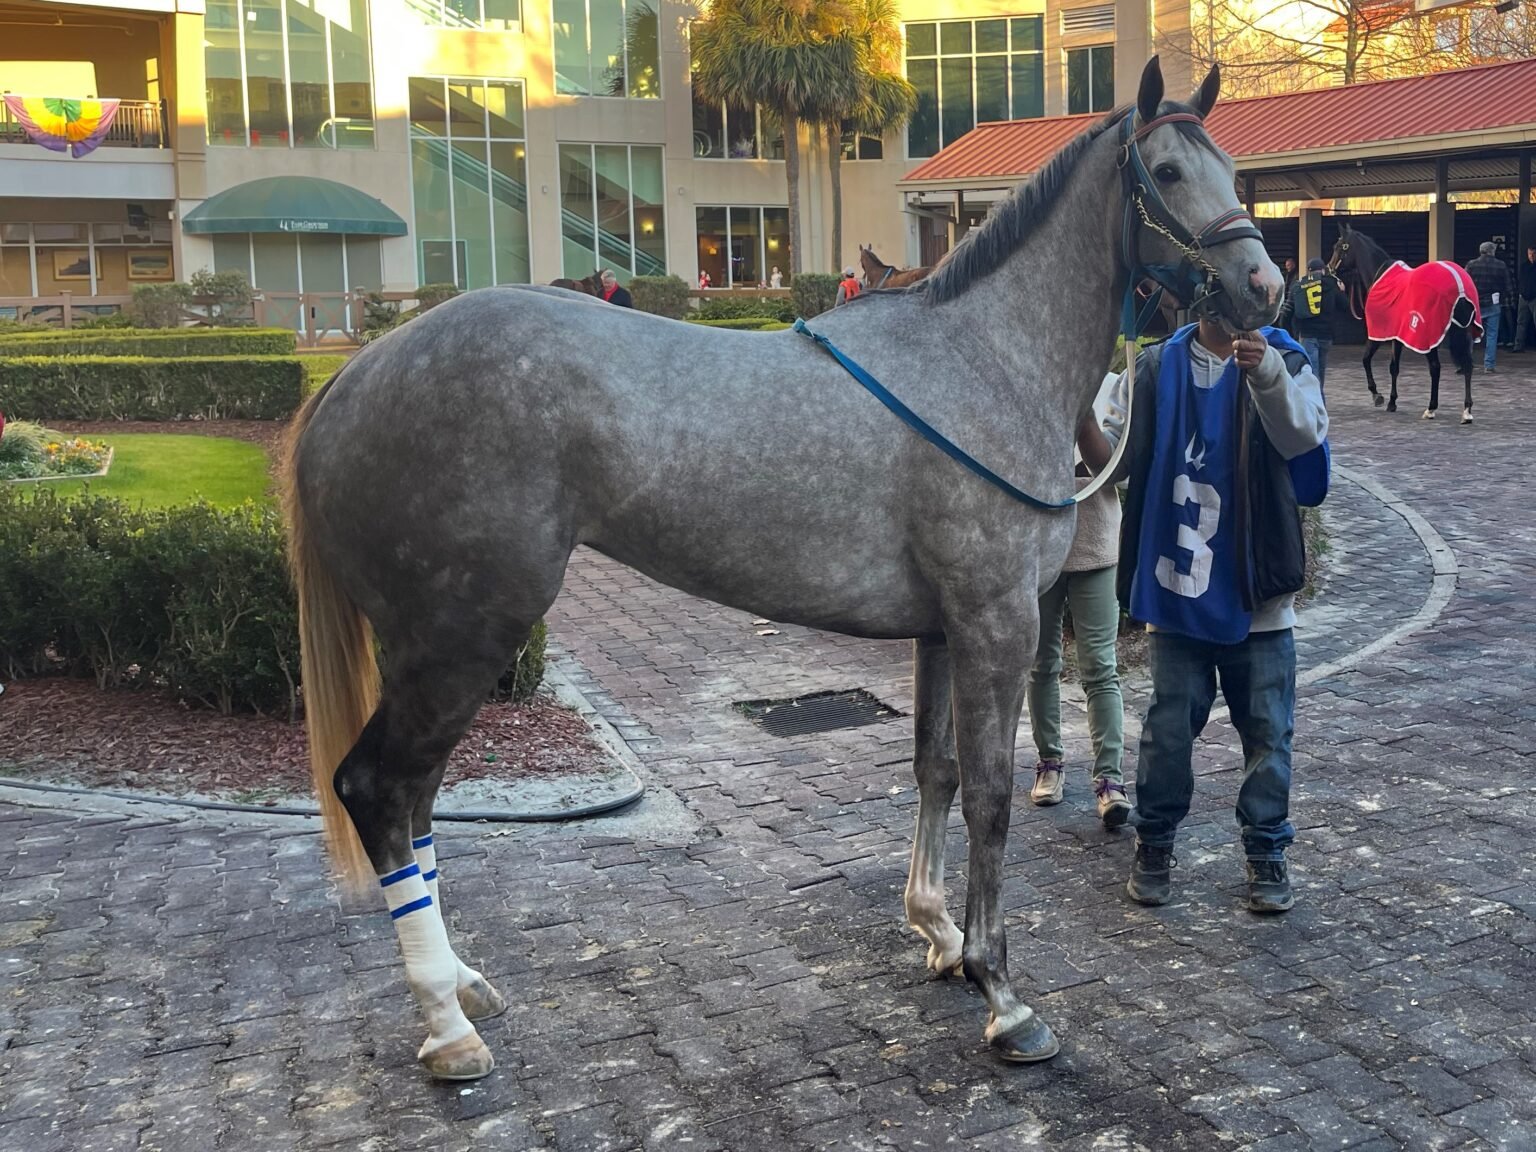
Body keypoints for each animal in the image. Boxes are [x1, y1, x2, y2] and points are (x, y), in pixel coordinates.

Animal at [284, 57, 1280, 1081]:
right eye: (1168, 171)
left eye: (1231, 168)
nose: (1265, 286)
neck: (983, 359)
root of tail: (351, 379)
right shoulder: (997, 622)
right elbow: (992, 799)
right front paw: (1002, 993)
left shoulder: (940, 630)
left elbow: (934, 771)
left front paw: (938, 935)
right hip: (461, 641)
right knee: (381, 792)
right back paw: (448, 1023)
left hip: (437, 652)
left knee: (416, 802)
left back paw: (464, 986)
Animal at [1327, 224, 1477, 424]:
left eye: (1338, 246)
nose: (1329, 268)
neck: (1380, 276)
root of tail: (1457, 283)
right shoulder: (1397, 336)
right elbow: (1394, 367)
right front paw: (1391, 401)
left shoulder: (1380, 334)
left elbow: (1369, 360)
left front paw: (1379, 396)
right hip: (1461, 331)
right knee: (1467, 365)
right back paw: (1466, 411)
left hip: (1429, 337)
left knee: (1435, 368)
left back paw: (1431, 408)